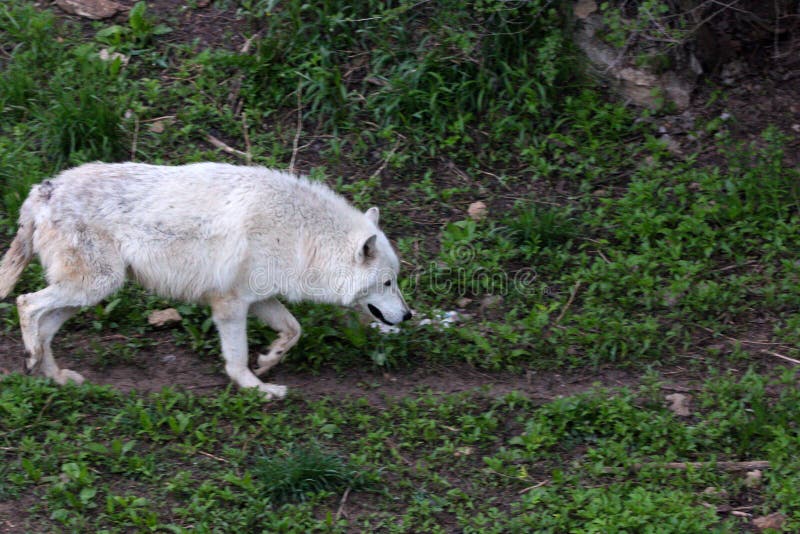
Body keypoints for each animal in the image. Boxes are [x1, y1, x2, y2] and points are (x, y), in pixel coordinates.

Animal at [0, 162, 412, 399]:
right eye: (388, 283)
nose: (408, 315)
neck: (299, 236)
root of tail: (43, 189)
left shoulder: (259, 298)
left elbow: (294, 330)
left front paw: (268, 361)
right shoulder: (229, 305)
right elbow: (236, 359)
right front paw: (257, 388)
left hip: (89, 293)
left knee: (44, 327)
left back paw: (56, 377)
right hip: (94, 286)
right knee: (25, 303)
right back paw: (31, 358)